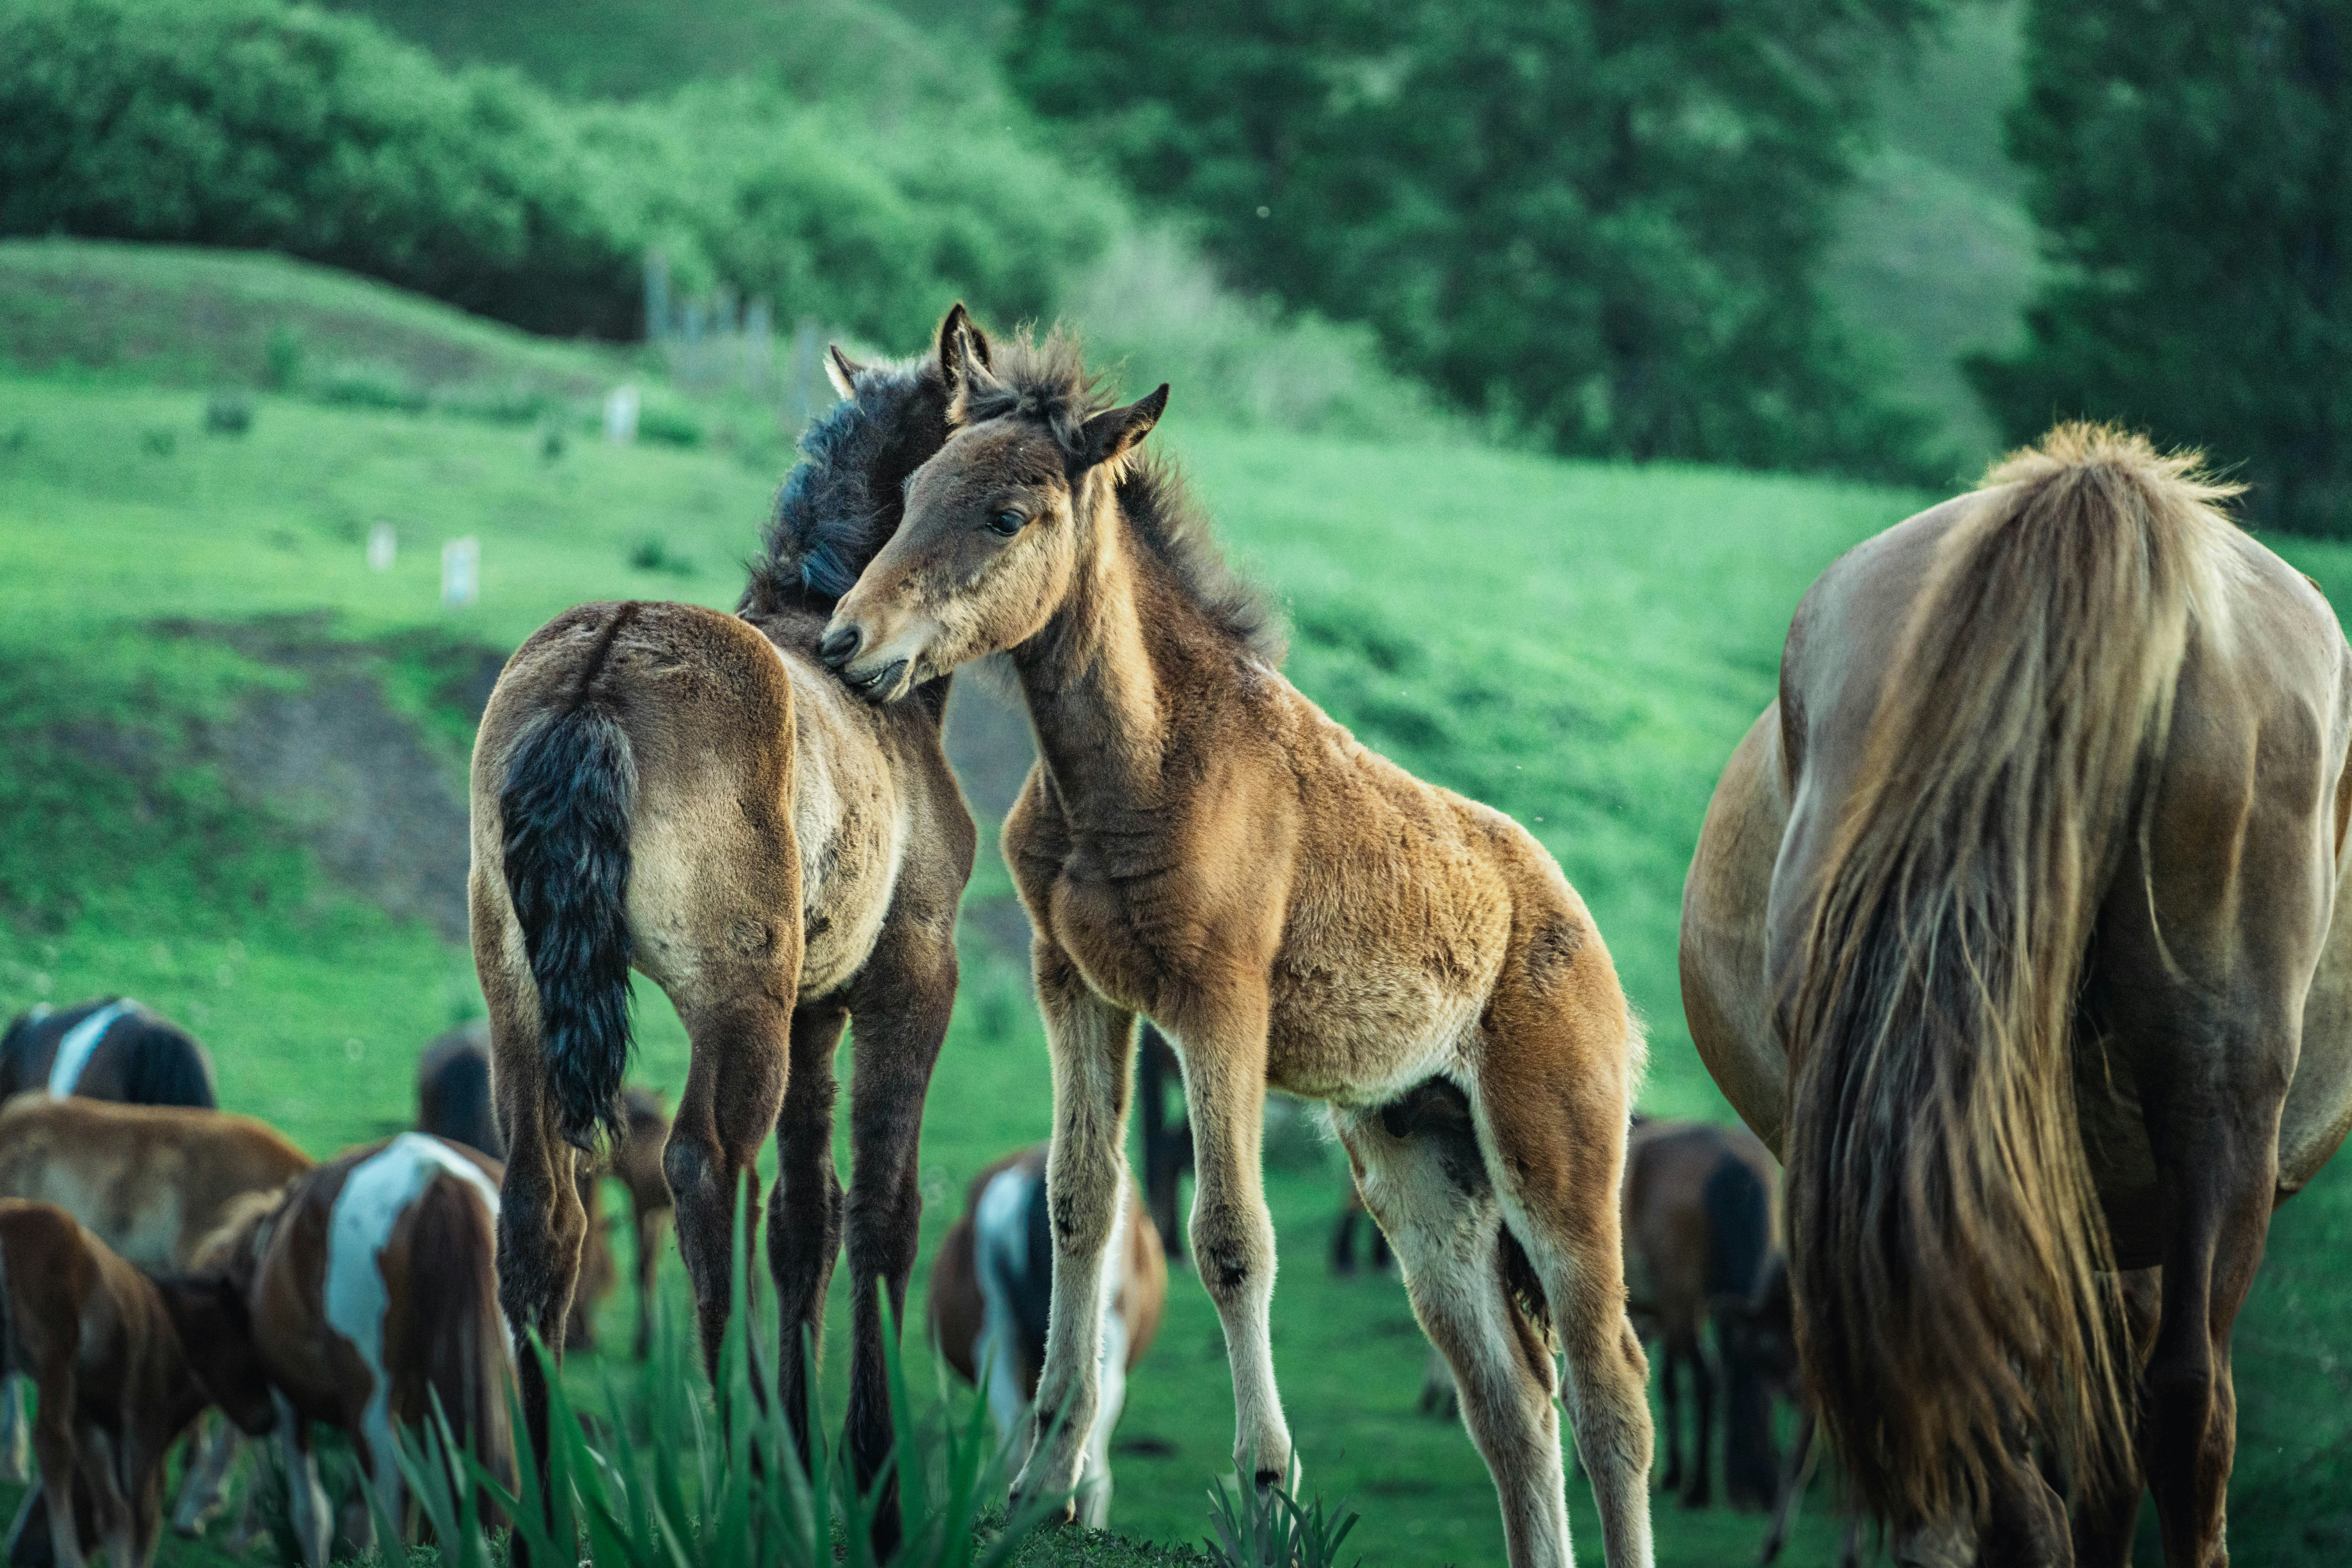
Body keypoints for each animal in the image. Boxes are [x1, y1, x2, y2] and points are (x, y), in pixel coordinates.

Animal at [0, 1201, 274, 1568]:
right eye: (253, 1353)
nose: (267, 1418)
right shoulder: (144, 1421)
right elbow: (144, 1516)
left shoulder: (90, 1417)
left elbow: (113, 1512)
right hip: (54, 1352)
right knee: (51, 1441)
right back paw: (69, 1559)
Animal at [182, 1133, 511, 1568]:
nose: (187, 1520)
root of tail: (435, 1177)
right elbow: (364, 1522)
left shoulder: (287, 1400)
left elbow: (312, 1513)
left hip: (374, 1413)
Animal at [468, 308, 986, 1550]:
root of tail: (599, 666)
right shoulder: (906, 983)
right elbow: (877, 1211)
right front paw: (869, 1482)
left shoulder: (814, 1010)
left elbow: (808, 1219)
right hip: (732, 1002)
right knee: (707, 1172)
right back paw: (748, 1486)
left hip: (519, 996)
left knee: (540, 1207)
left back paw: (549, 1518)